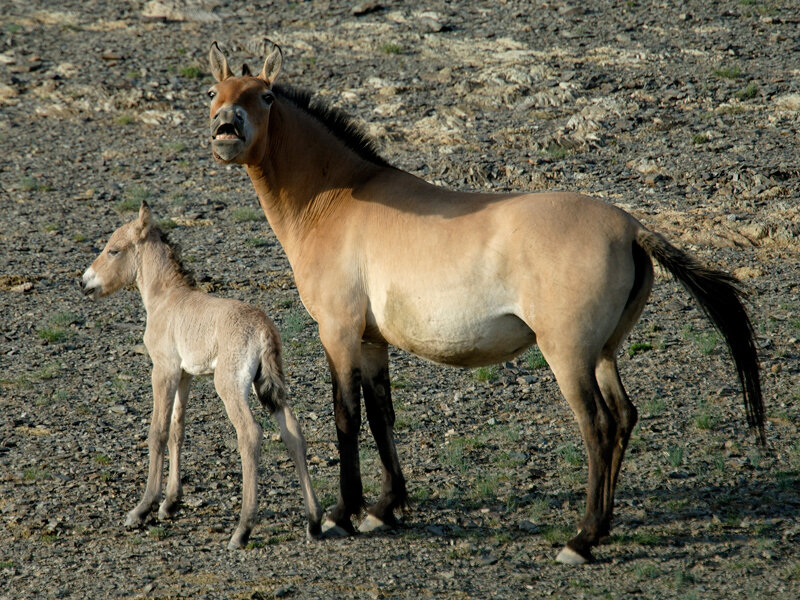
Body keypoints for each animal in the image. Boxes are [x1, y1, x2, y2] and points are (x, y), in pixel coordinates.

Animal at [79, 202, 320, 548]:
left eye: (113, 250)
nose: (84, 282)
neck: (165, 298)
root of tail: (263, 329)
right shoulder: (185, 375)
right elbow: (177, 429)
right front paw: (170, 503)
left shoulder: (163, 369)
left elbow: (158, 432)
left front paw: (142, 509)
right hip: (268, 386)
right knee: (293, 433)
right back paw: (314, 521)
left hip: (230, 384)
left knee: (250, 434)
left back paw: (242, 530)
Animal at [205, 42, 764, 564]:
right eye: (215, 92)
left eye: (265, 96)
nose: (226, 129)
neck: (339, 200)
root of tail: (631, 228)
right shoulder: (371, 341)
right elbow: (382, 414)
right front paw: (386, 509)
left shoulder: (338, 332)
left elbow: (347, 416)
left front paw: (343, 514)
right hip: (603, 354)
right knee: (625, 418)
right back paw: (600, 528)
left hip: (568, 355)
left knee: (600, 428)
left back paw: (581, 539)